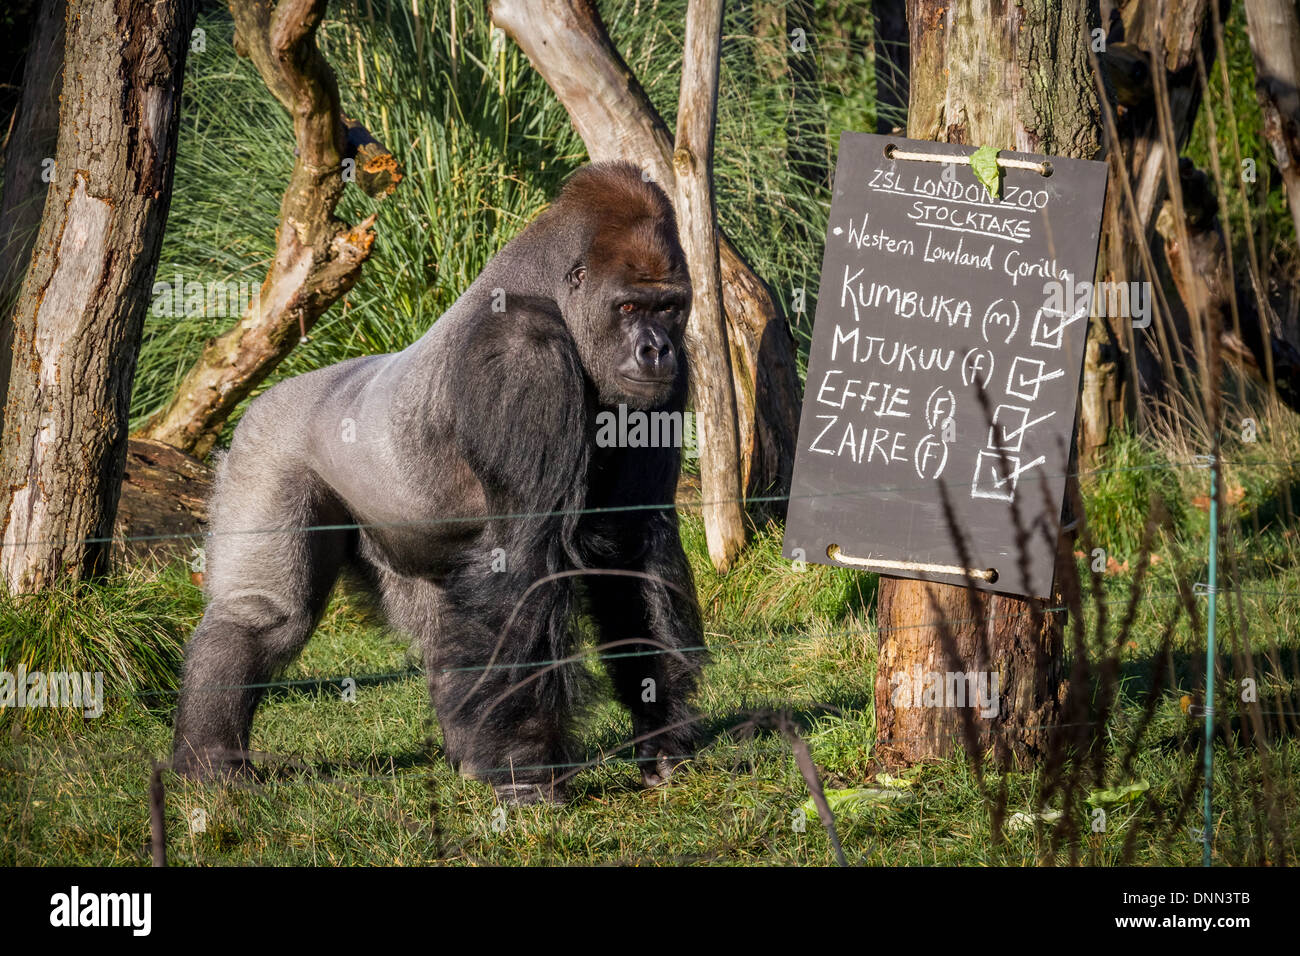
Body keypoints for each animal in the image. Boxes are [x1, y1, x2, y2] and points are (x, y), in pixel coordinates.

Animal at [172, 162, 706, 804]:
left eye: (670, 307)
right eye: (627, 308)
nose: (656, 351)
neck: (551, 294)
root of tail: (262, 400)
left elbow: (630, 543)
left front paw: (661, 735)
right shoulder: (520, 354)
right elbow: (525, 552)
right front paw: (529, 770)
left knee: (435, 620)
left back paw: (469, 754)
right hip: (264, 448)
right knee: (263, 617)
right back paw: (210, 761)